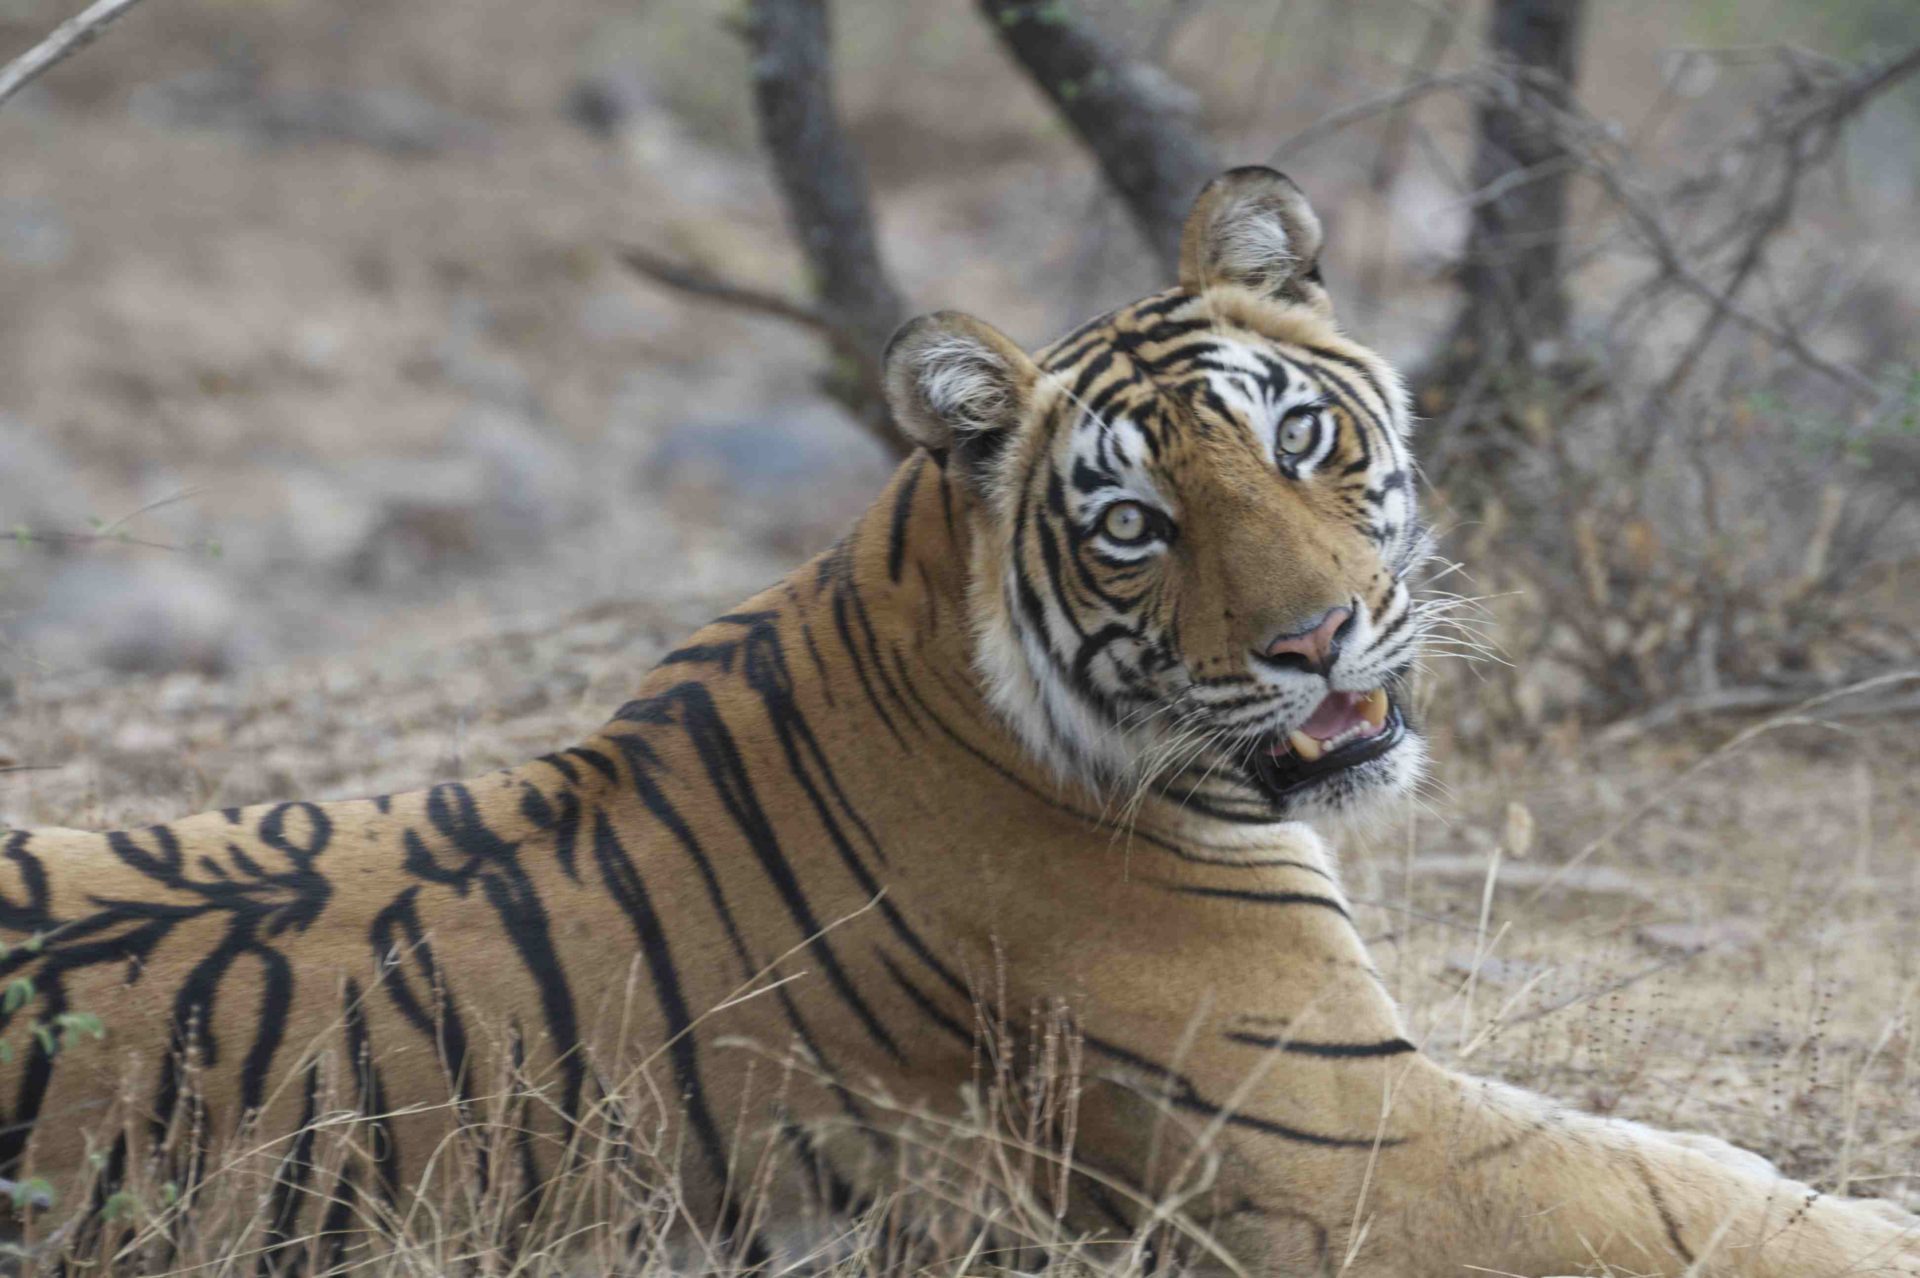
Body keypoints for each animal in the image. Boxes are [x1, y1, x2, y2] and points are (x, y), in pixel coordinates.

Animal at [1, 166, 1914, 1275]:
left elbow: (1686, 1157)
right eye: (1135, 523)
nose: (1314, 641)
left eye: (1297, 440)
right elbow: (1682, 1201)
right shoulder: (1351, 1142)